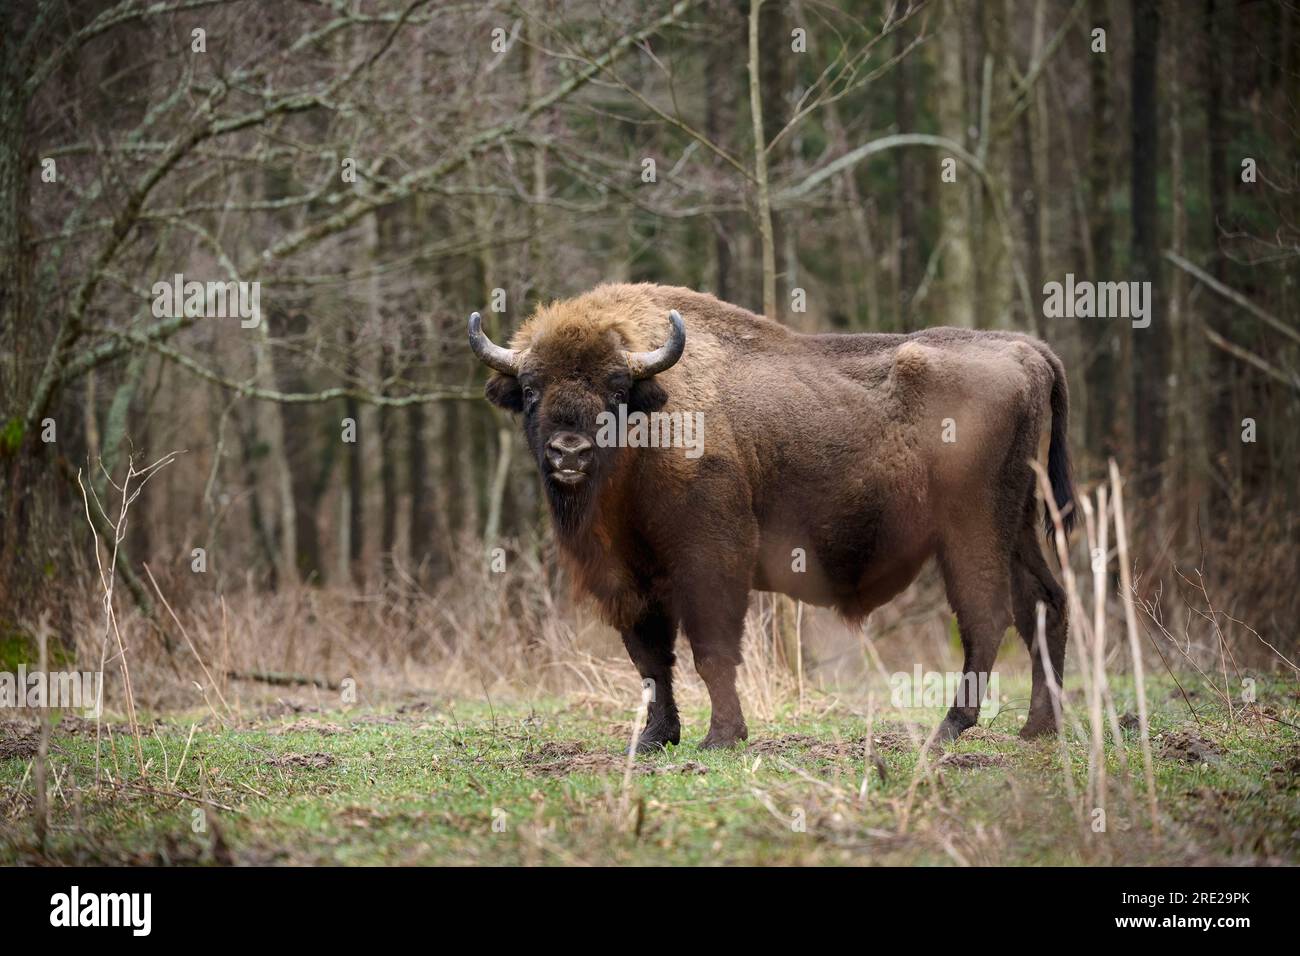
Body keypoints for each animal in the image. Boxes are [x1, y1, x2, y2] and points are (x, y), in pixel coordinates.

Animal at [470, 283, 1073, 750]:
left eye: (616, 389)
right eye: (531, 388)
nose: (568, 452)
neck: (653, 414)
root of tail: (1027, 350)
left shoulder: (710, 560)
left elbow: (710, 651)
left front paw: (721, 737)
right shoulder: (629, 579)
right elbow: (651, 659)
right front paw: (655, 739)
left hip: (973, 530)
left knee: (988, 616)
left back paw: (948, 728)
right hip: (1017, 524)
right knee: (1044, 604)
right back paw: (1038, 728)